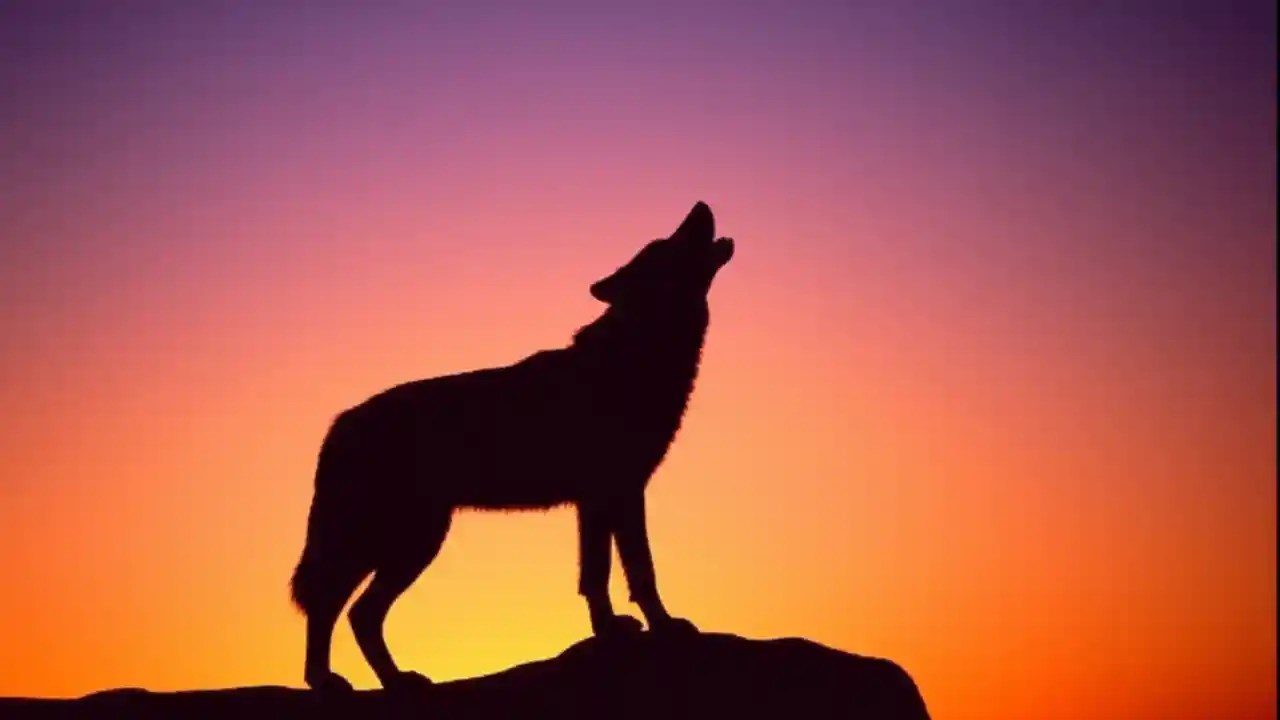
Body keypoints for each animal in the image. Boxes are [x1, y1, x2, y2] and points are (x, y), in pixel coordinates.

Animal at [289, 202, 735, 692]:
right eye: (666, 243)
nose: (700, 205)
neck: (635, 356)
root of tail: (340, 424)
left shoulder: (597, 501)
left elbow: (595, 575)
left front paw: (609, 629)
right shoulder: (622, 493)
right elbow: (641, 570)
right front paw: (664, 626)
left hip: (407, 542)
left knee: (357, 613)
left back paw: (393, 679)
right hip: (398, 541)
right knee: (333, 604)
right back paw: (330, 680)